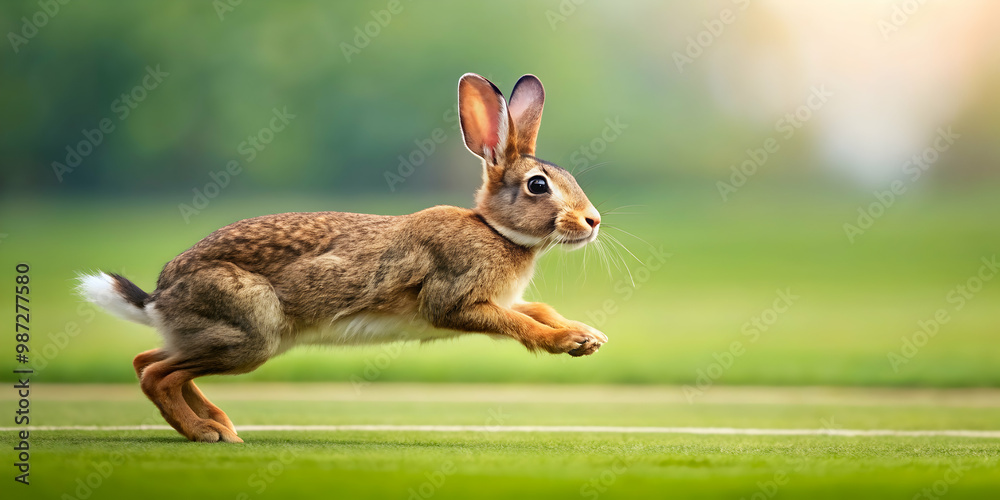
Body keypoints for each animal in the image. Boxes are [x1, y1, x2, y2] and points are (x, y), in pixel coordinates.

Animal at [78, 73, 608, 443]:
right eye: (538, 185)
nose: (592, 221)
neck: (495, 230)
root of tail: (159, 297)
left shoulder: (499, 299)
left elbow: (536, 310)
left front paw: (588, 336)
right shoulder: (455, 301)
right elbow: (522, 325)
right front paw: (568, 342)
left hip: (218, 339)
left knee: (148, 359)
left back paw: (219, 422)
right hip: (250, 333)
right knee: (157, 375)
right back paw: (207, 432)